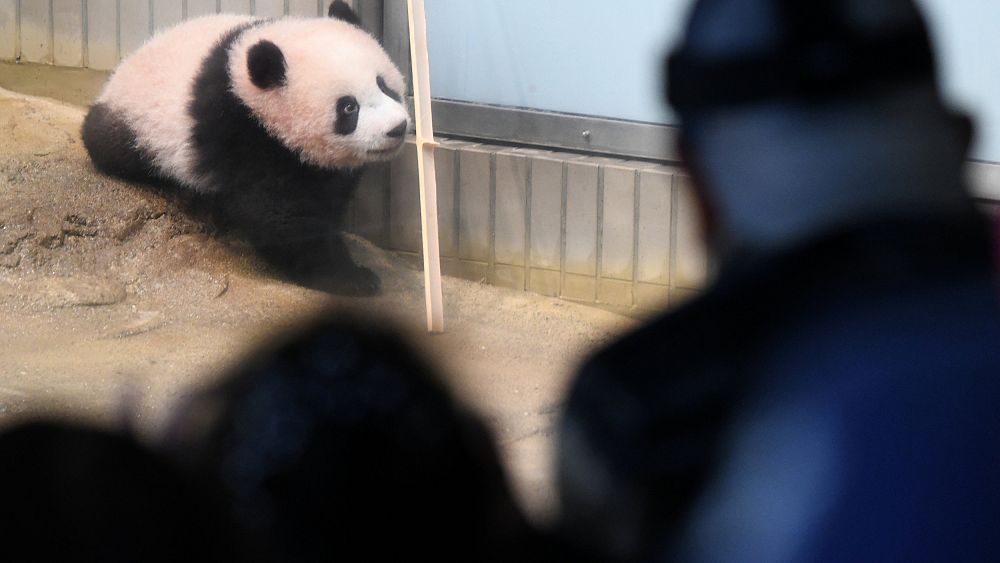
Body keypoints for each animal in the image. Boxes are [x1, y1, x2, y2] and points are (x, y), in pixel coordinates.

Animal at [82, 1, 409, 295]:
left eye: (384, 85)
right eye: (348, 107)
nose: (397, 127)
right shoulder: (243, 132)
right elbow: (279, 217)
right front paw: (350, 277)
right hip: (135, 123)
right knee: (110, 145)